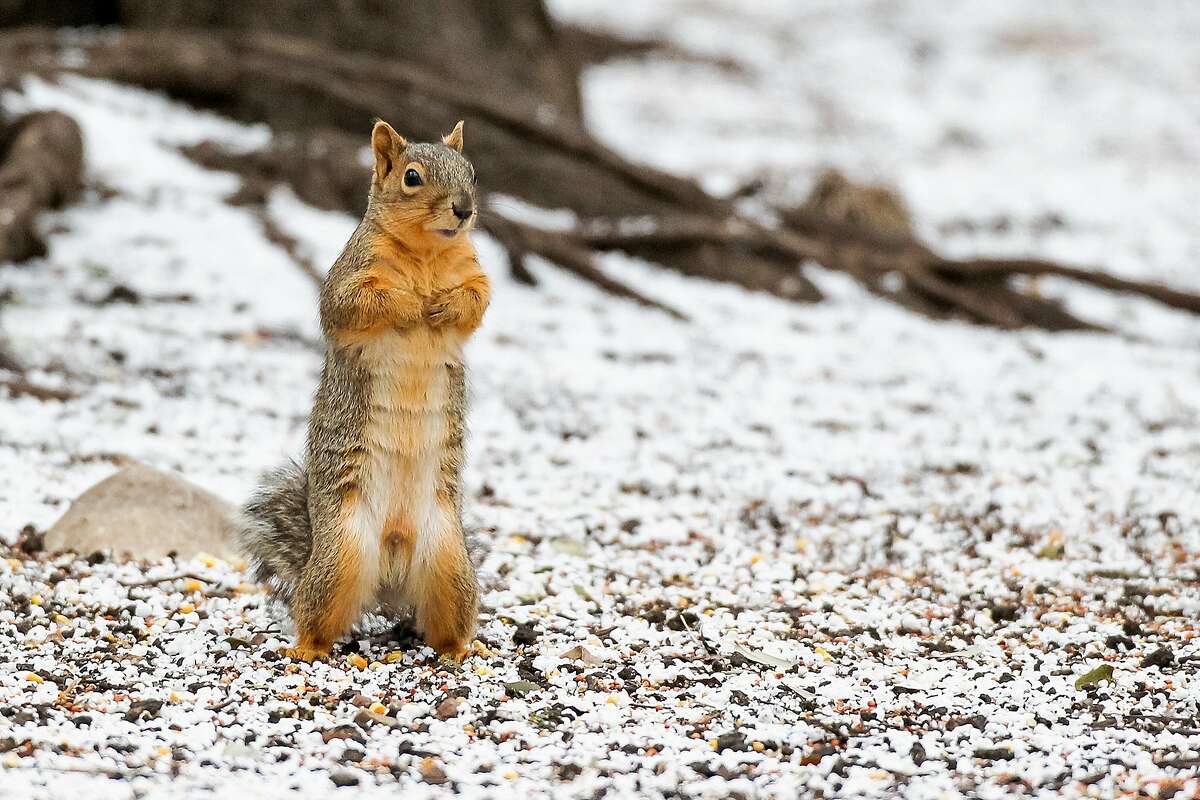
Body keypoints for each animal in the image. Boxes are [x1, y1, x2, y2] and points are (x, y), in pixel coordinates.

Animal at [238, 119, 489, 663]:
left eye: (473, 171)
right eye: (412, 177)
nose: (464, 209)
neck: (427, 253)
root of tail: (393, 561)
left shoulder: (473, 273)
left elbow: (476, 302)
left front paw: (443, 306)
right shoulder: (348, 278)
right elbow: (356, 302)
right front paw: (410, 303)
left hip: (450, 565)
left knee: (446, 623)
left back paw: (462, 650)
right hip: (341, 558)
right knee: (315, 613)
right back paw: (305, 649)